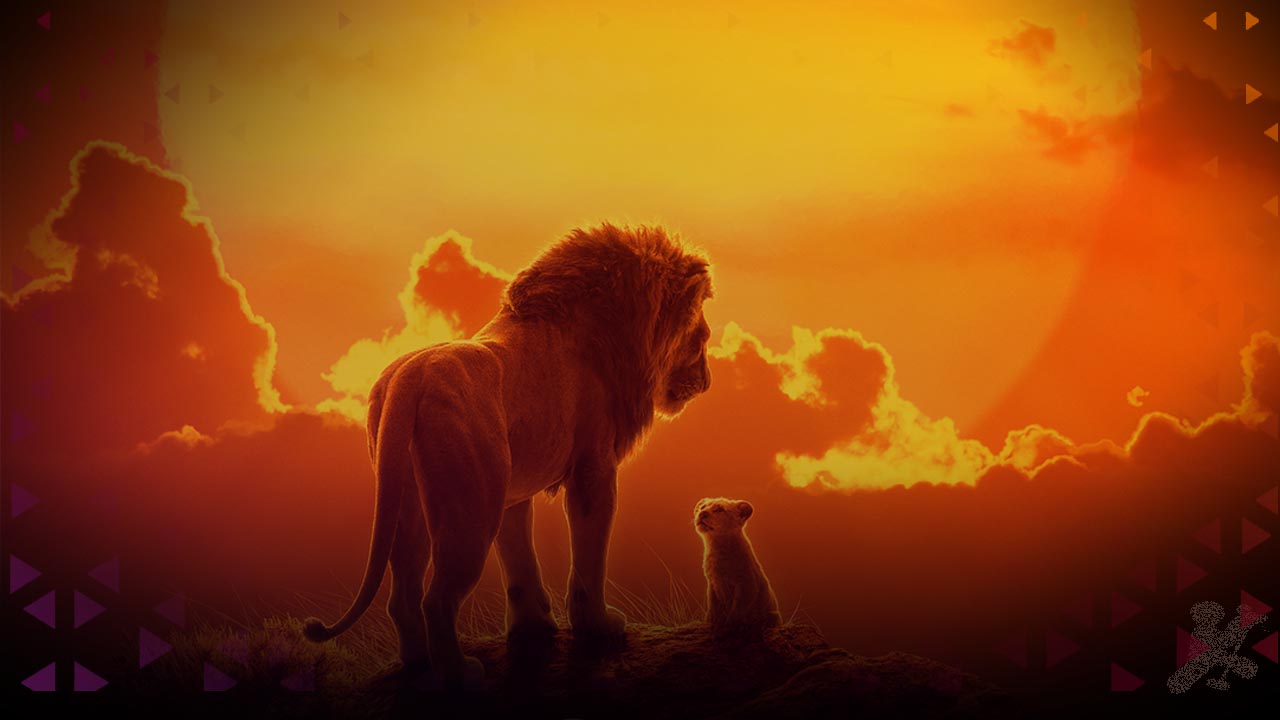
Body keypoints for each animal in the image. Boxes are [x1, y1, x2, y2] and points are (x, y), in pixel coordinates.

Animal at [304, 223, 713, 688]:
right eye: (702, 338)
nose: (707, 381)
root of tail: (410, 377)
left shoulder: (512, 490)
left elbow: (518, 560)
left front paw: (533, 627)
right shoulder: (593, 468)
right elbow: (589, 555)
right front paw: (598, 626)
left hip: (410, 500)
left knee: (404, 594)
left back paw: (418, 663)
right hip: (470, 510)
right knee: (437, 600)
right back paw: (460, 675)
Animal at [695, 497, 781, 632]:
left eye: (719, 509)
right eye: (703, 507)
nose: (702, 513)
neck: (717, 548)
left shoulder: (747, 584)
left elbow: (737, 609)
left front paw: (730, 625)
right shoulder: (712, 584)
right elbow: (713, 607)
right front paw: (711, 623)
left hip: (774, 615)